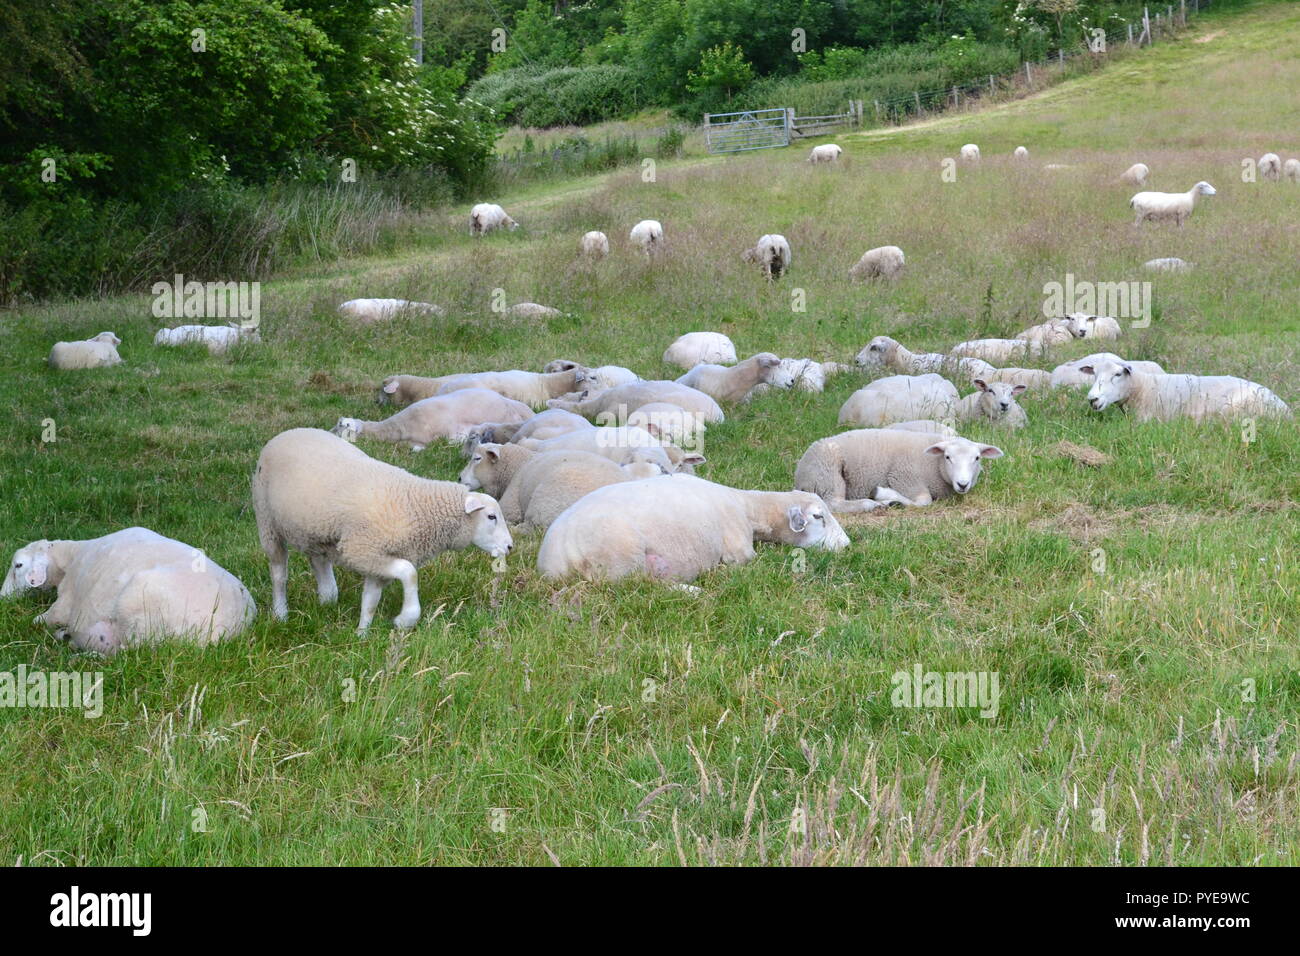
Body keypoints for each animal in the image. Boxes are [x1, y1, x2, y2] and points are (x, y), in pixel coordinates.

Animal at [2, 527, 255, 655]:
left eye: (18, 566)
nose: (2, 598)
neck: (71, 557)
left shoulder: (65, 603)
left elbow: (39, 620)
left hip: (138, 611)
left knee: (126, 654)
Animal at [252, 428, 512, 631]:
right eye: (491, 516)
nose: (510, 546)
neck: (416, 504)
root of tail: (285, 433)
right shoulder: (360, 550)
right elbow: (409, 572)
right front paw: (405, 619)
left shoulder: (377, 561)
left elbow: (370, 601)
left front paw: (362, 635)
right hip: (267, 521)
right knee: (279, 573)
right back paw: (281, 613)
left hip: (315, 533)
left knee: (318, 563)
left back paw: (326, 601)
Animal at [537, 475, 848, 583]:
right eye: (818, 516)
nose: (847, 545)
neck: (746, 507)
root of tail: (560, 556)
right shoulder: (739, 551)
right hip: (621, 560)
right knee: (640, 586)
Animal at [794, 429, 1004, 513]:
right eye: (947, 457)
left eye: (977, 458)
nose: (962, 484)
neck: (934, 466)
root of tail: (800, 475)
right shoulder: (904, 476)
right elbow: (924, 501)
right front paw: (886, 497)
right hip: (827, 472)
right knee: (832, 503)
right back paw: (871, 504)